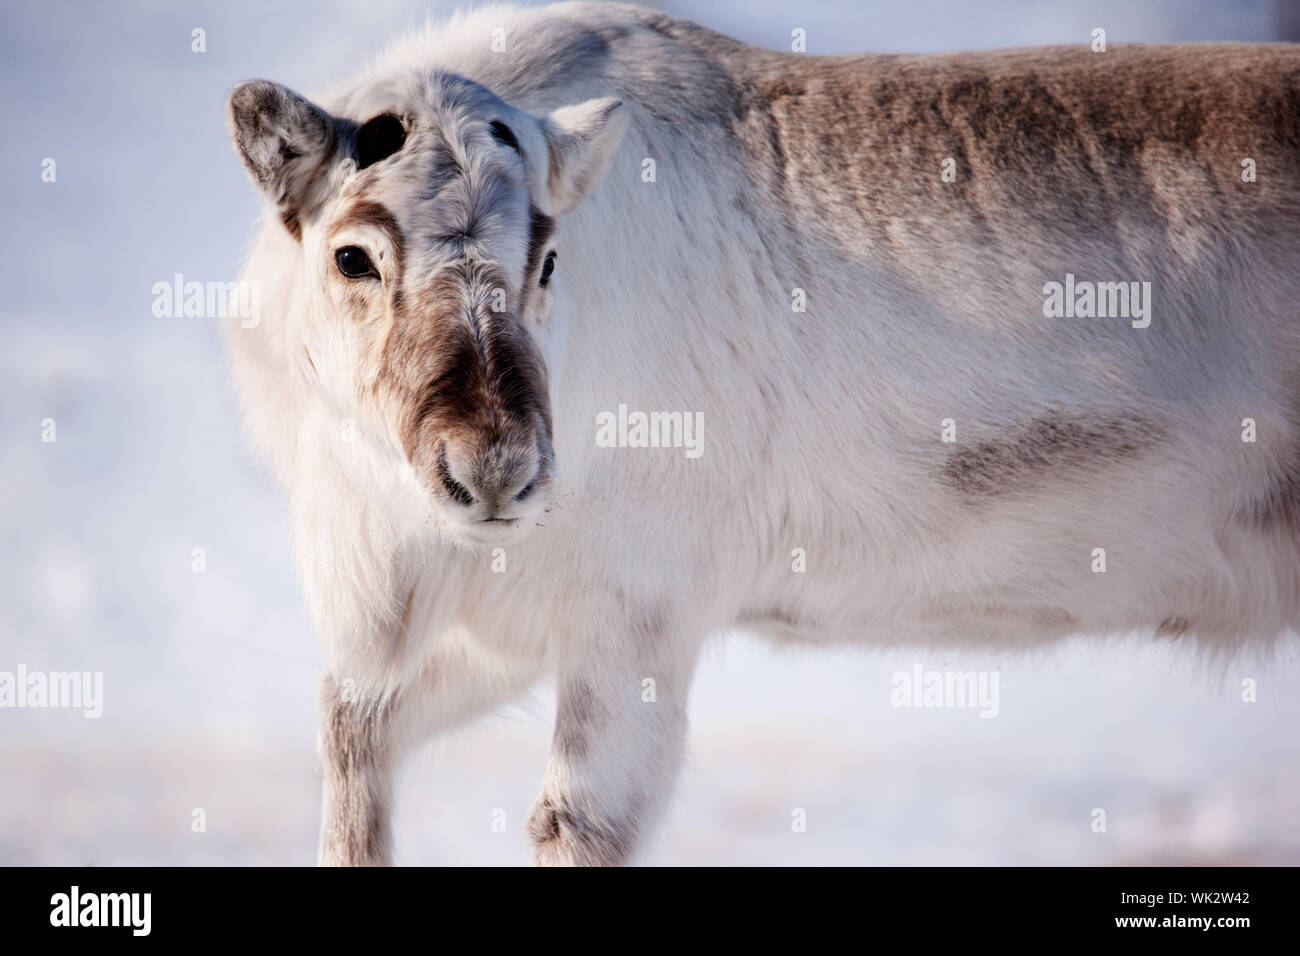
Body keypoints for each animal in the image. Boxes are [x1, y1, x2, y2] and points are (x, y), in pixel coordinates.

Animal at [224, 1, 1300, 865]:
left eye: (548, 260)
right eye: (353, 255)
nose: (496, 471)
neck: (381, 527)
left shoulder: (637, 610)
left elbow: (571, 824)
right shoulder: (505, 618)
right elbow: (349, 724)